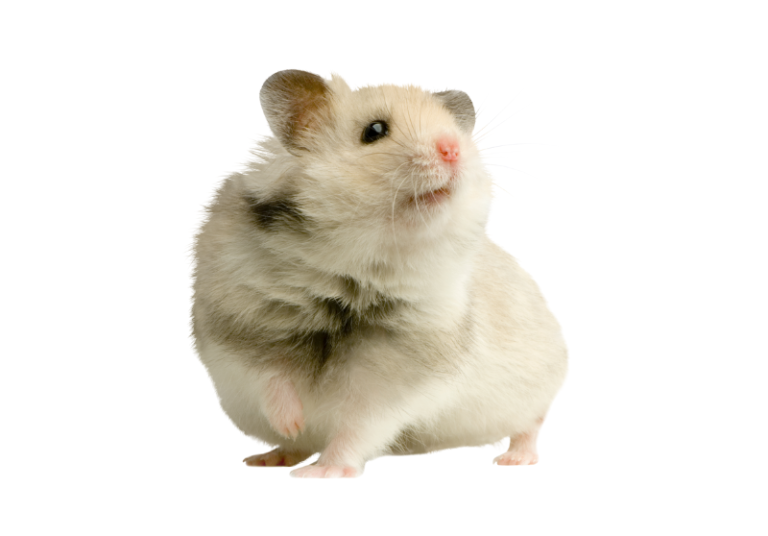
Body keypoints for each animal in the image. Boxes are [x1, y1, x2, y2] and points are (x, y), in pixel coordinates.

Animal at [192, 70, 567, 477]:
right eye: (374, 131)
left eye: (454, 129)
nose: (453, 149)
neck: (352, 271)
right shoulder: (237, 331)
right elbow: (270, 379)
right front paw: (293, 424)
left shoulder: (394, 383)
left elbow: (357, 428)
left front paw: (323, 472)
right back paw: (269, 457)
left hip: (533, 392)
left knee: (530, 426)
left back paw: (515, 459)